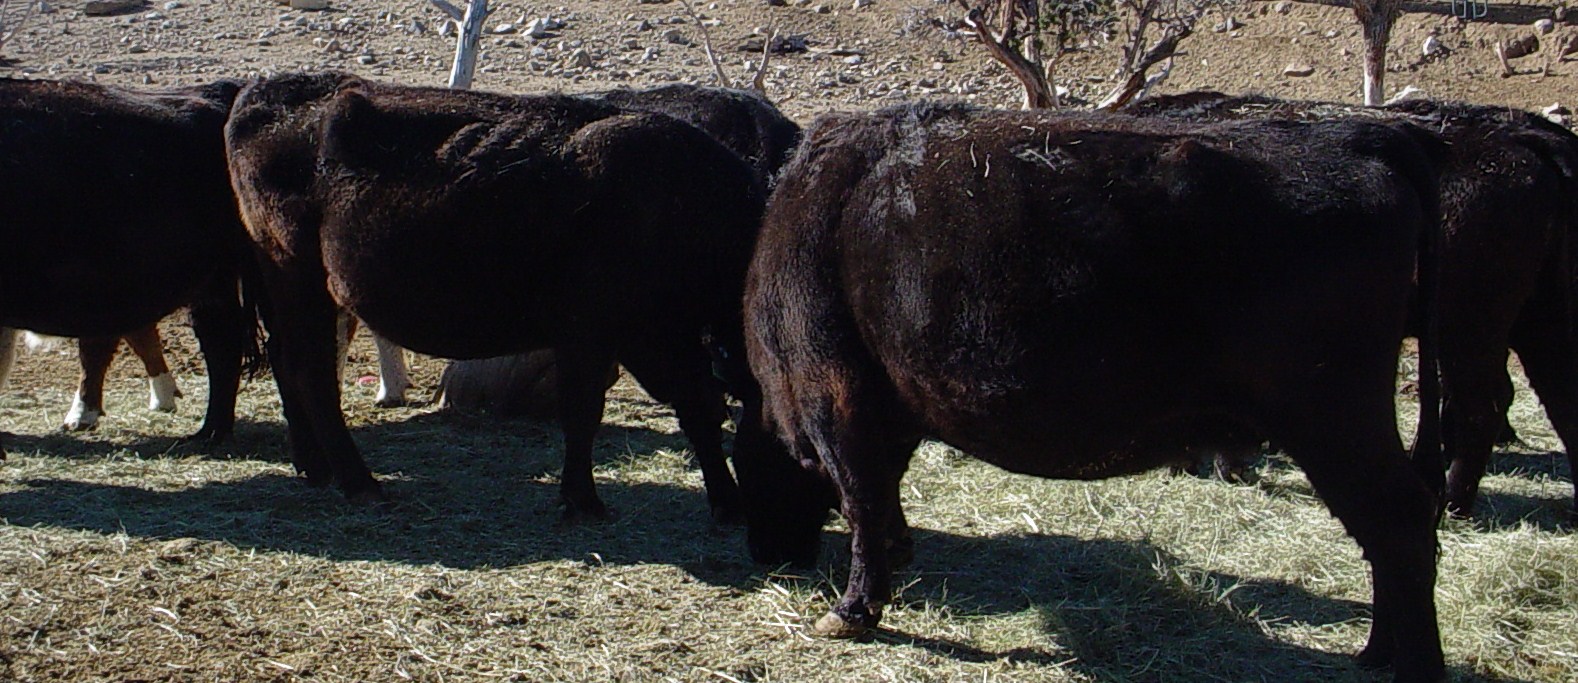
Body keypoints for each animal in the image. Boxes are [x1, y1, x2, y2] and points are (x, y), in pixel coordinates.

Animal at [224, 72, 769, 522]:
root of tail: (260, 93)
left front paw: (727, 504)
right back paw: (359, 482)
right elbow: (586, 411)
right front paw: (583, 501)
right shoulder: (590, 333)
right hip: (299, 280)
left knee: (287, 360)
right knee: (312, 371)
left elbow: (698, 406)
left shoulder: (658, 337)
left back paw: (315, 467)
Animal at [739, 104, 1446, 682]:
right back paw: (1376, 652)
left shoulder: (836, 403)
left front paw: (853, 610)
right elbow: (883, 497)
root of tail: (1365, 137)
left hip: (1332, 423)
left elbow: (862, 500)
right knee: (1390, 530)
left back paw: (1412, 664)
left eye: (752, 472)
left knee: (1401, 521)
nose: (767, 557)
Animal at [1128, 91, 1578, 517]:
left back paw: (1453, 503)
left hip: (1469, 326)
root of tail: (1523, 139)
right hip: (1540, 319)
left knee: (1482, 406)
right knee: (1559, 399)